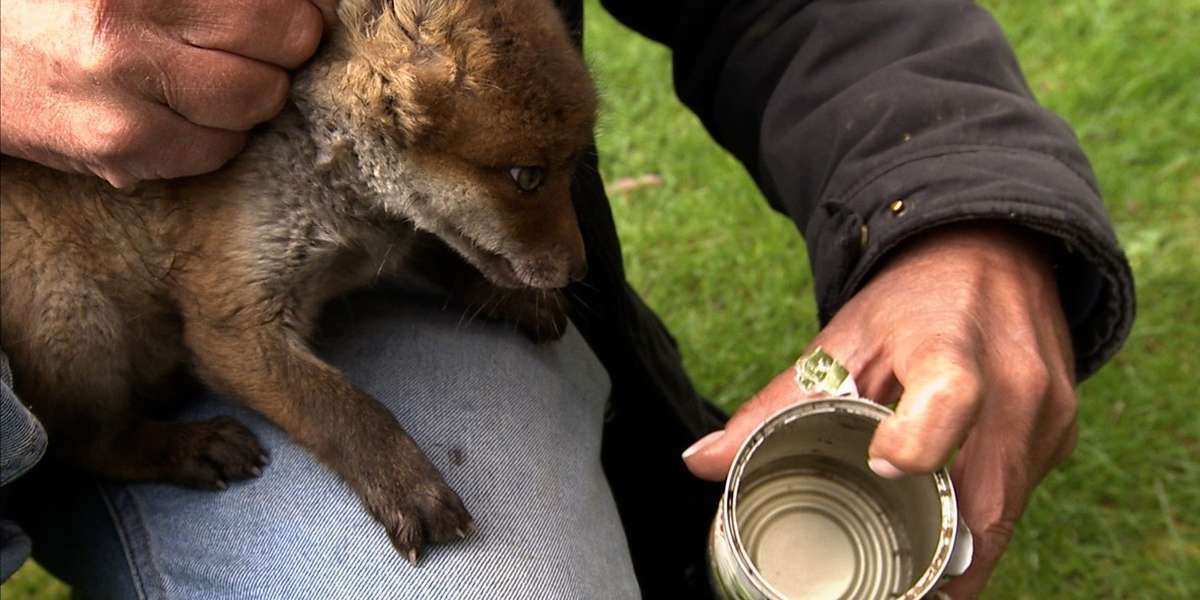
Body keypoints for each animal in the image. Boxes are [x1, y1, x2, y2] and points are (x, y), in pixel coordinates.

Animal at [0, 0, 596, 560]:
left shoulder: (392, 241)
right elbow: (345, 410)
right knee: (83, 443)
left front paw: (518, 302)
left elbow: (444, 254)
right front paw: (408, 486)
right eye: (527, 177)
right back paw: (192, 446)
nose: (580, 271)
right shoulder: (233, 321)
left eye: (573, 166)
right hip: (68, 310)